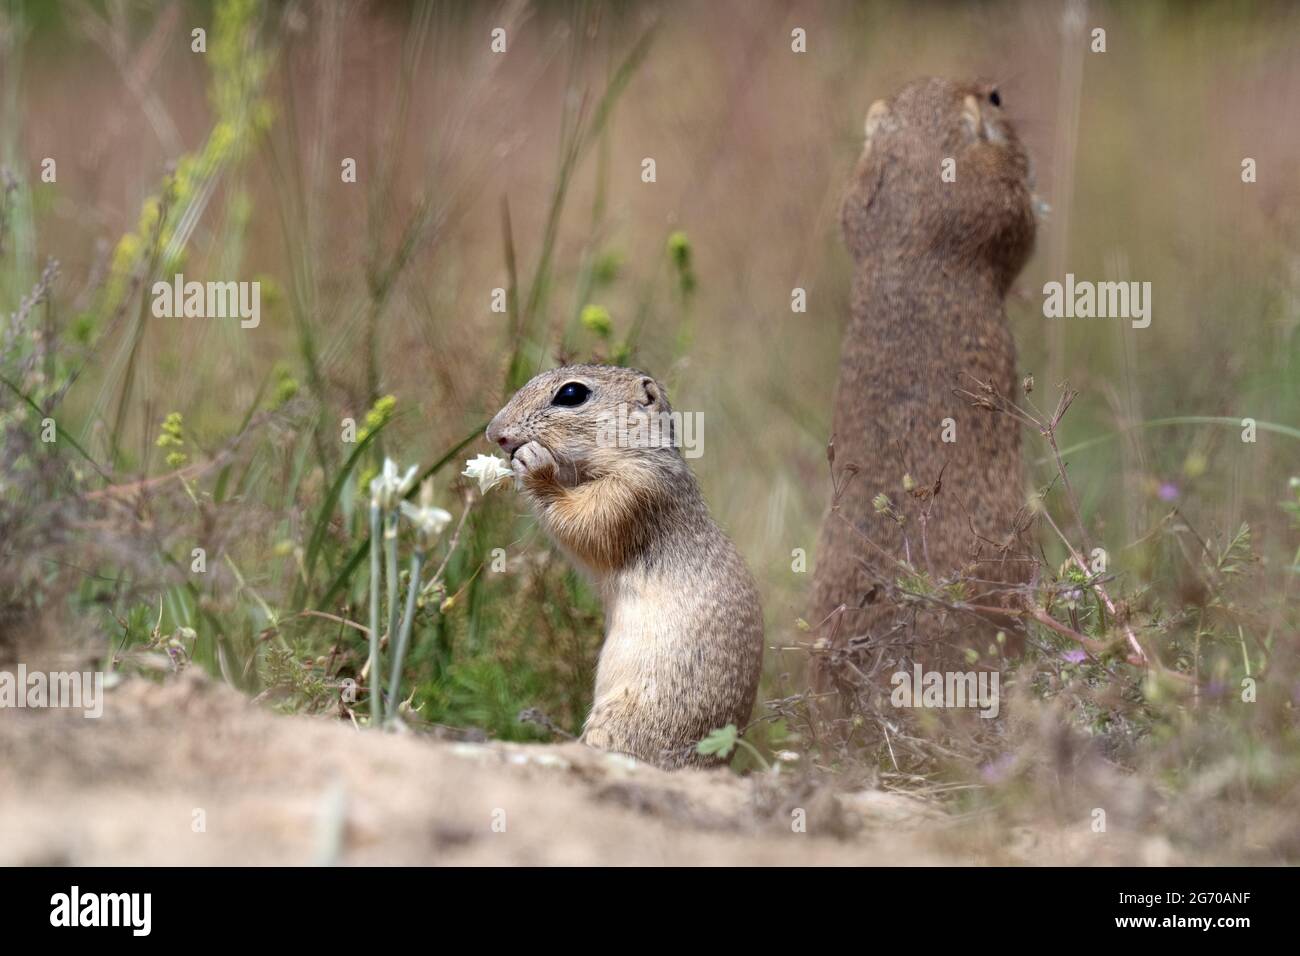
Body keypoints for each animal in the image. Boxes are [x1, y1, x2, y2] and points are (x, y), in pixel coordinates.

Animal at [486, 365, 765, 769]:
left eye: (571, 394)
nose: (494, 433)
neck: (632, 452)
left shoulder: (634, 490)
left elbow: (586, 520)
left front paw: (535, 466)